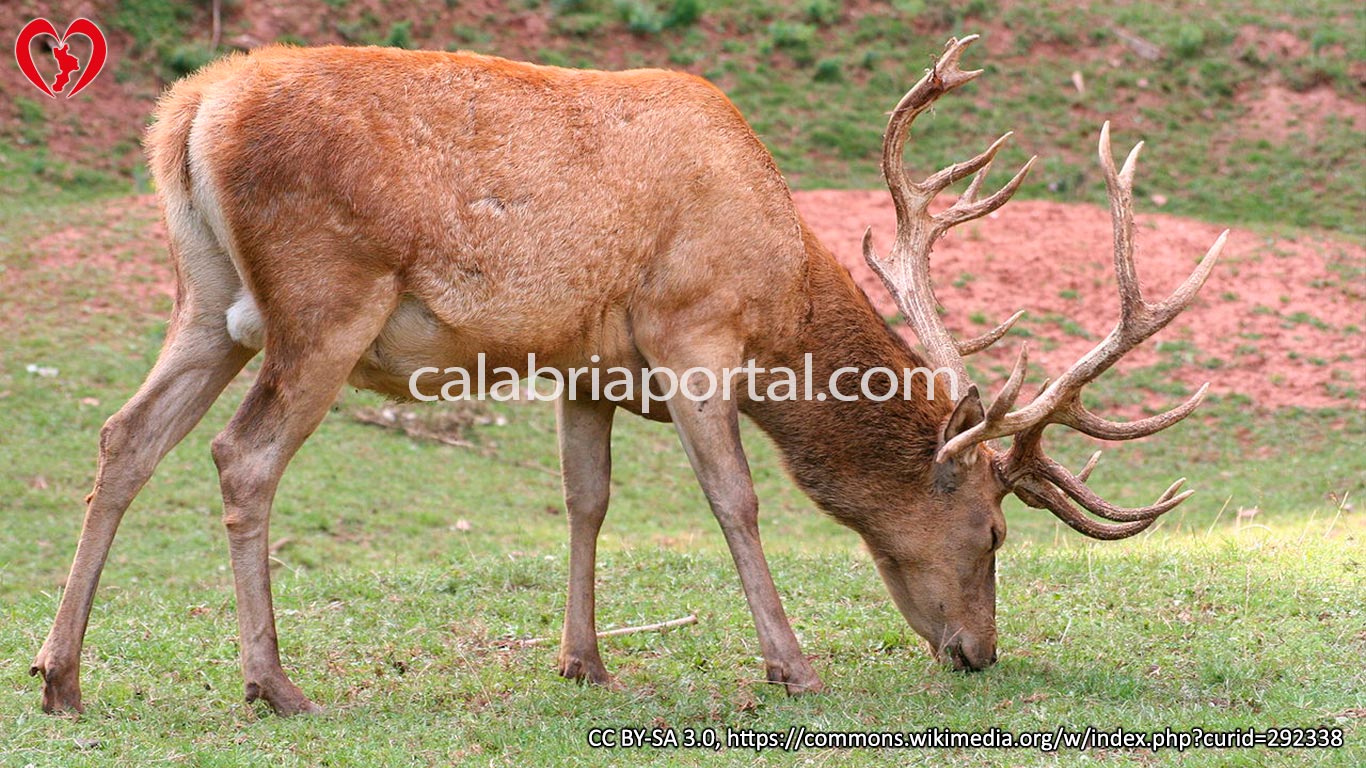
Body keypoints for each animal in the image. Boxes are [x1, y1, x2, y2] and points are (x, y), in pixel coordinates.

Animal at [31, 35, 1223, 716]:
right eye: (994, 531)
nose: (975, 655)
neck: (779, 293)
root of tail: (189, 112)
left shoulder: (584, 370)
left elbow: (586, 501)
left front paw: (585, 662)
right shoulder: (694, 332)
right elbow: (736, 499)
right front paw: (791, 666)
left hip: (205, 304)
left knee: (123, 438)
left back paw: (62, 677)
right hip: (325, 298)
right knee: (242, 458)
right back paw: (273, 683)